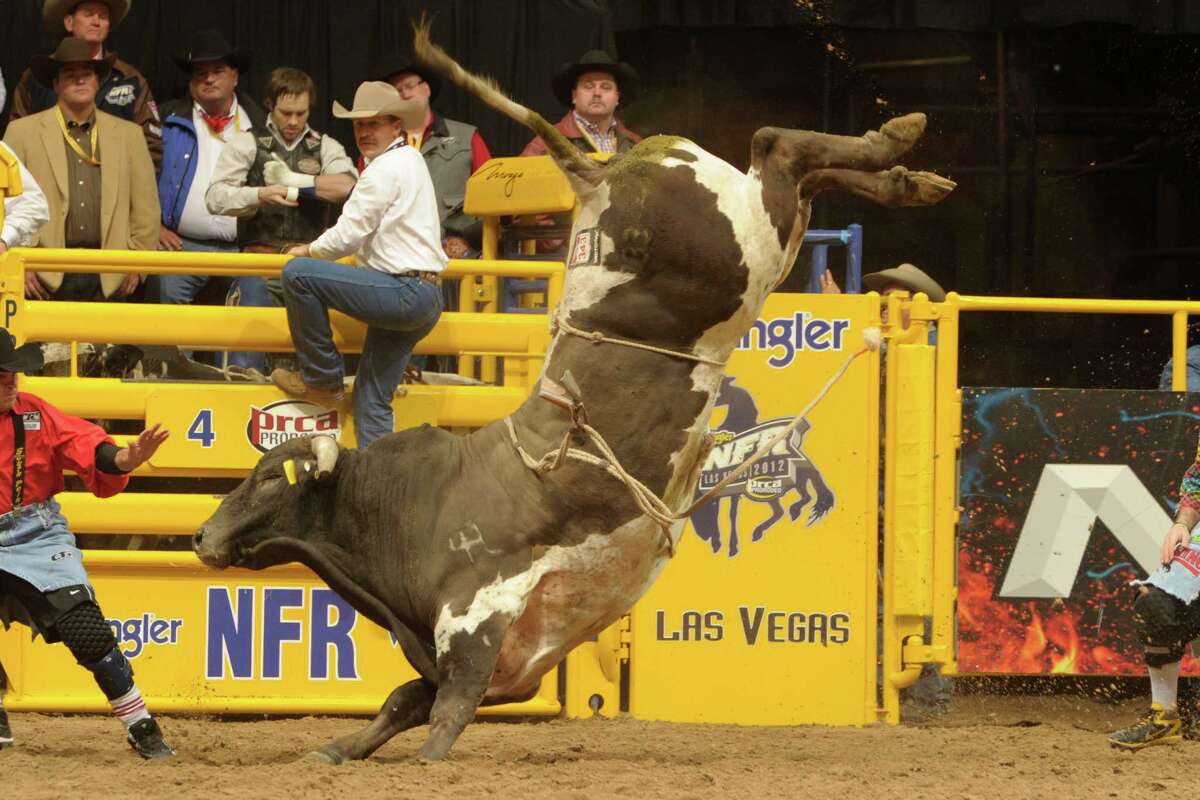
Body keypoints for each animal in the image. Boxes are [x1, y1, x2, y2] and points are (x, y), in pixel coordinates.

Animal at [192, 21, 954, 764]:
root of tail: (599, 173)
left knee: (779, 148)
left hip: (745, 245)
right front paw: (334, 748)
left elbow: (443, 714)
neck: (406, 506)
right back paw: (910, 176)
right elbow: (403, 701)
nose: (201, 534)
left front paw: (414, 758)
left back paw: (898, 140)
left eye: (268, 478)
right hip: (758, 234)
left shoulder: (478, 619)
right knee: (793, 166)